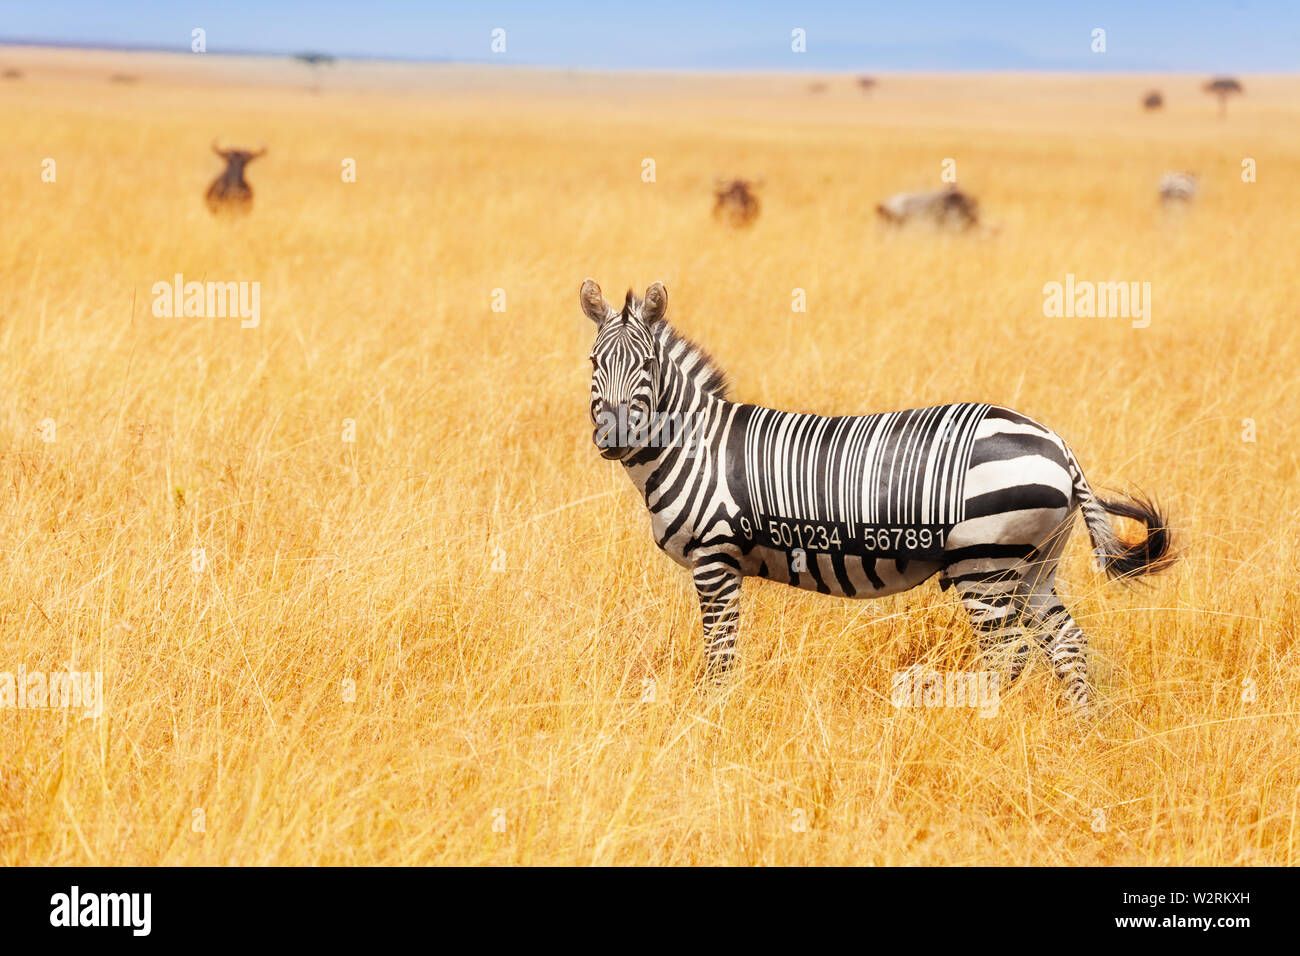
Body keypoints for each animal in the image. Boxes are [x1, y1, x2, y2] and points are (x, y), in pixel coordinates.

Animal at [582, 279, 1175, 711]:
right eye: (594, 365)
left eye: (647, 365)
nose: (613, 437)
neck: (693, 445)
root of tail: (1059, 445)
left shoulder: (715, 559)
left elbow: (720, 656)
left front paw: (714, 717)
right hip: (1035, 565)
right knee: (1066, 644)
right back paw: (1083, 730)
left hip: (985, 564)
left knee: (1009, 656)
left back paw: (987, 733)